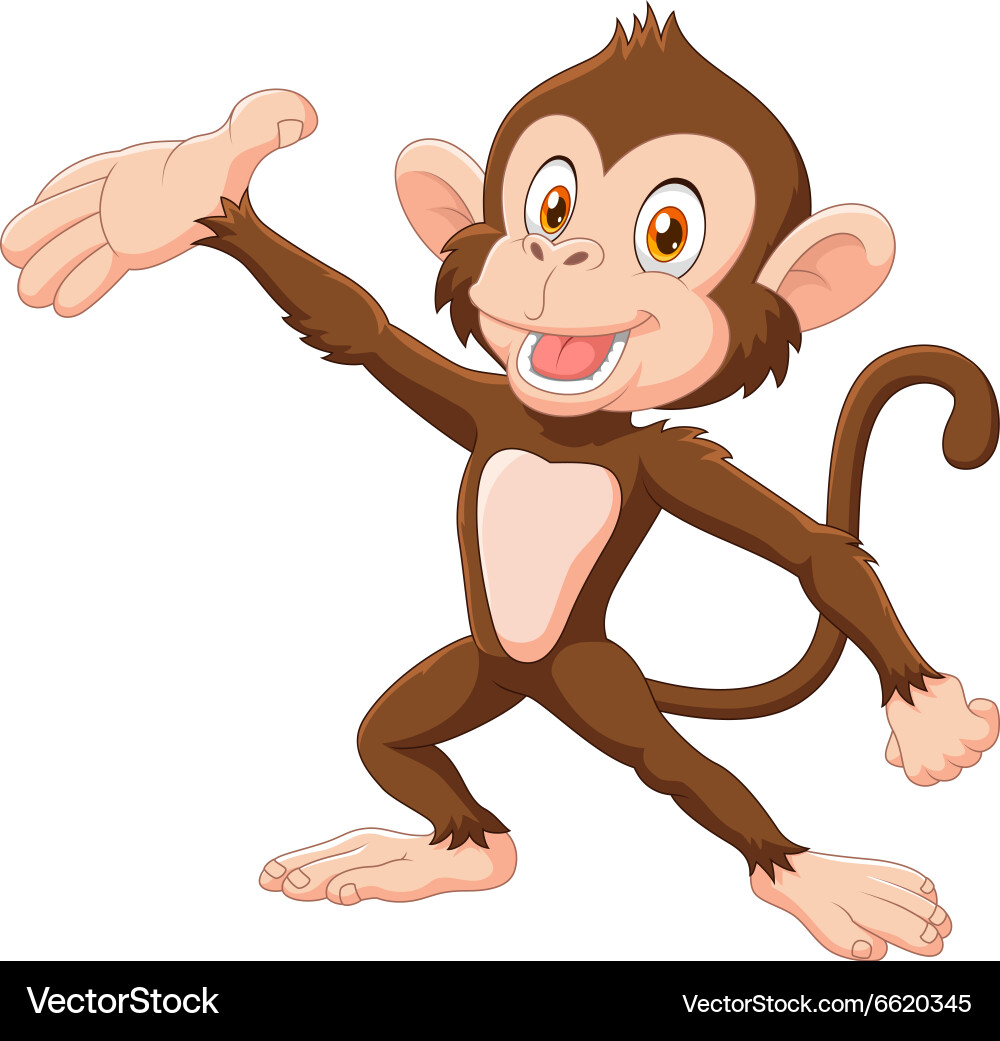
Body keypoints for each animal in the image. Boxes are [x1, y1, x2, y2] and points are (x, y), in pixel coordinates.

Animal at [2, 7, 998, 961]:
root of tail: (533, 682)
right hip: (475, 668)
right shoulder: (484, 407)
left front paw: (926, 709)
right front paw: (172, 199)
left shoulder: (665, 464)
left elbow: (811, 553)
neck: (563, 431)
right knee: (386, 738)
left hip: (594, 676)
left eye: (668, 233)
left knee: (680, 766)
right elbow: (356, 327)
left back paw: (807, 874)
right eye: (550, 205)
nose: (564, 254)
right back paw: (453, 852)